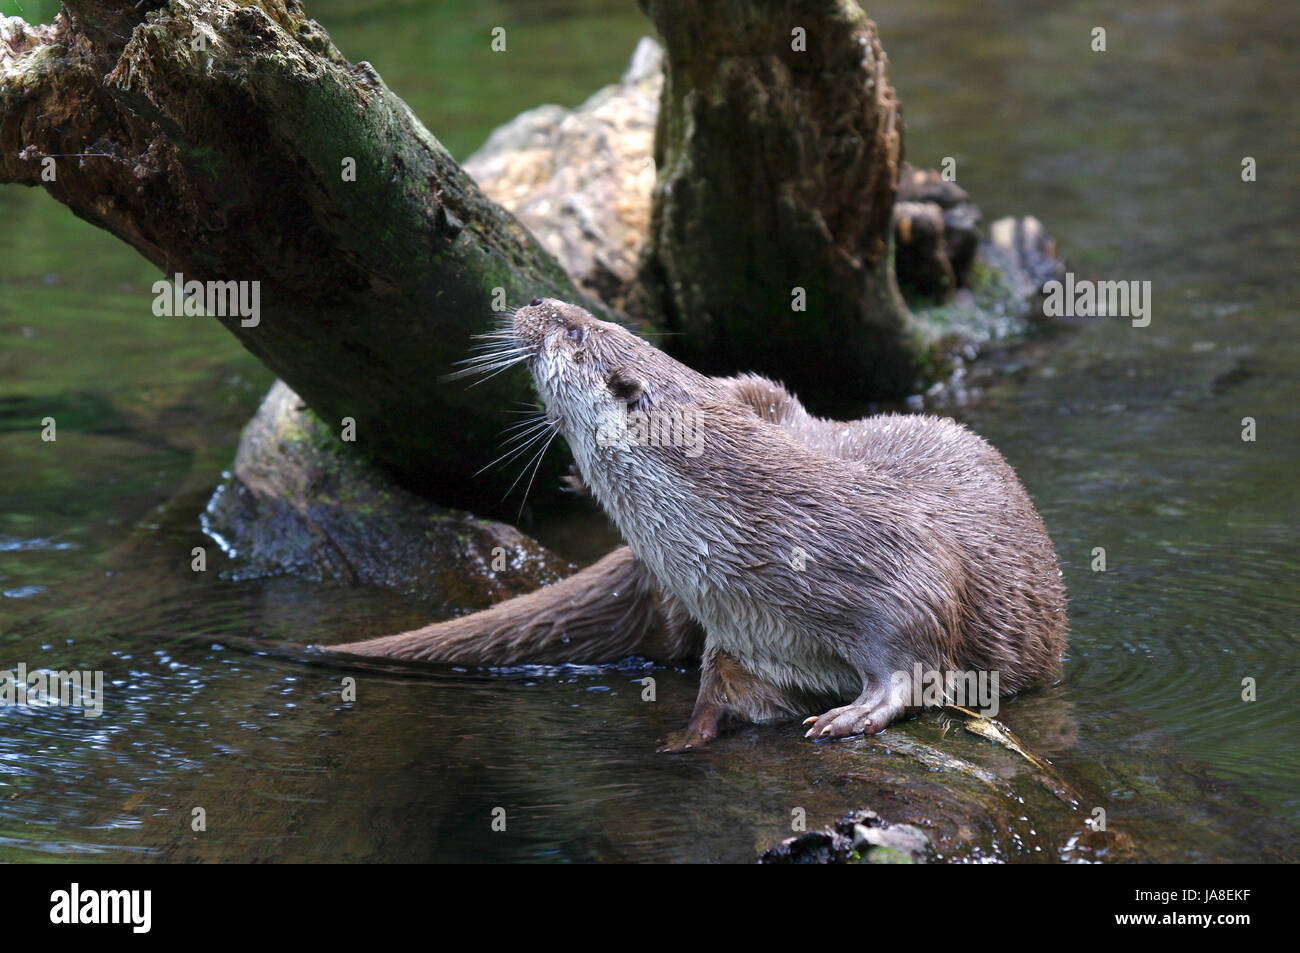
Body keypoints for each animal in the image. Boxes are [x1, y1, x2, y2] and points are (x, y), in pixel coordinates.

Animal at [329, 299, 1067, 750]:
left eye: (576, 330)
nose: (537, 302)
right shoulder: (739, 633)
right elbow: (721, 685)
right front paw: (690, 733)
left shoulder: (902, 565)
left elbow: (920, 649)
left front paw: (857, 711)